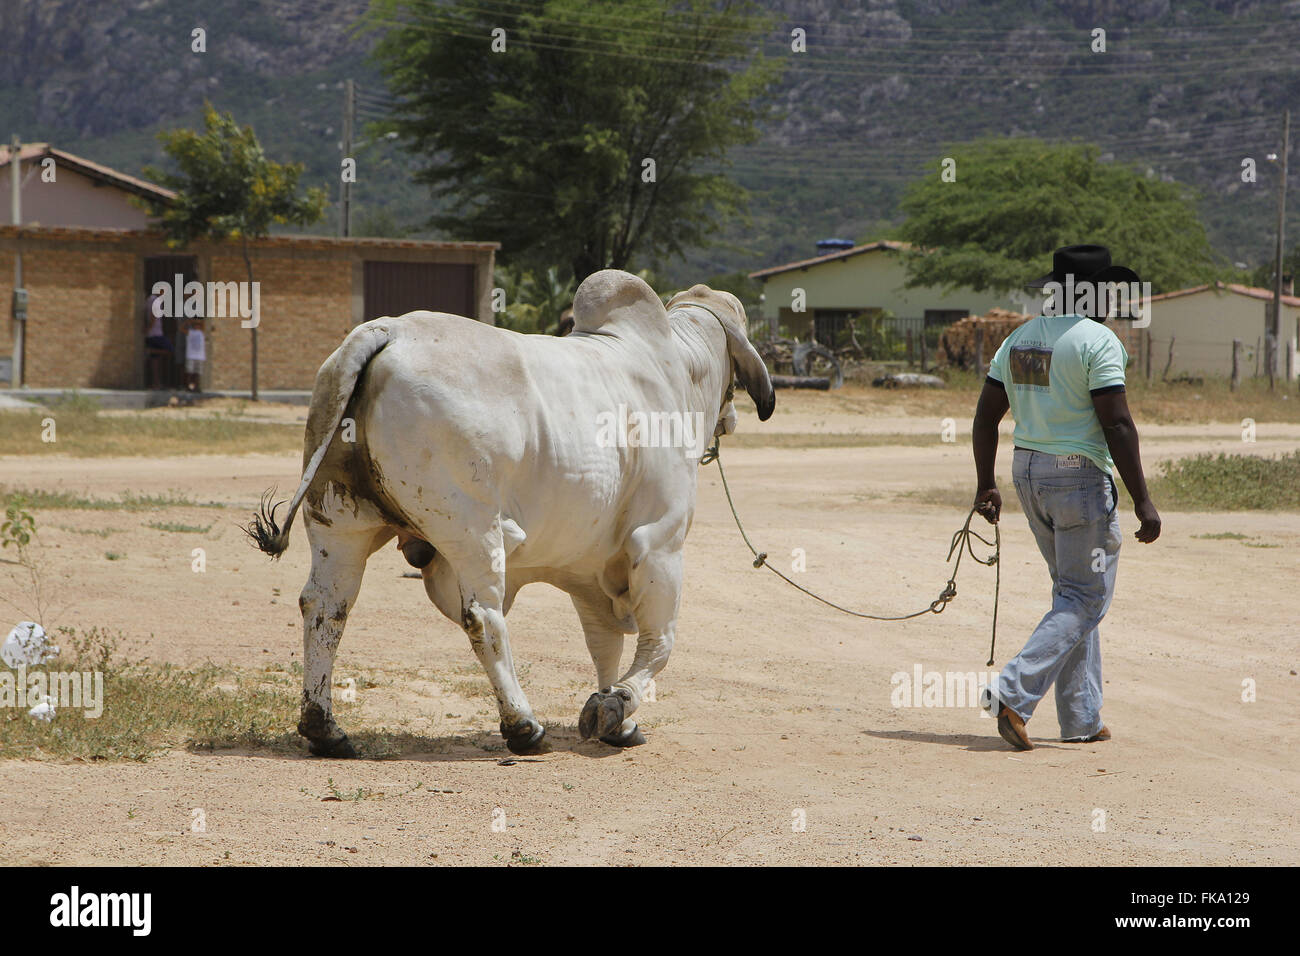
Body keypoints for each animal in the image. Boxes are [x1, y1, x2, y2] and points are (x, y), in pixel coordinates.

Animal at [247, 270, 774, 756]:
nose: (732, 419)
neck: (679, 369)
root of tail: (385, 330)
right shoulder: (659, 543)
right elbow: (658, 643)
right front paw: (616, 706)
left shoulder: (587, 566)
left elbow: (604, 644)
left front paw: (617, 721)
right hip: (473, 531)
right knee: (483, 616)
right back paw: (523, 726)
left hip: (339, 526)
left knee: (325, 607)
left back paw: (325, 729)